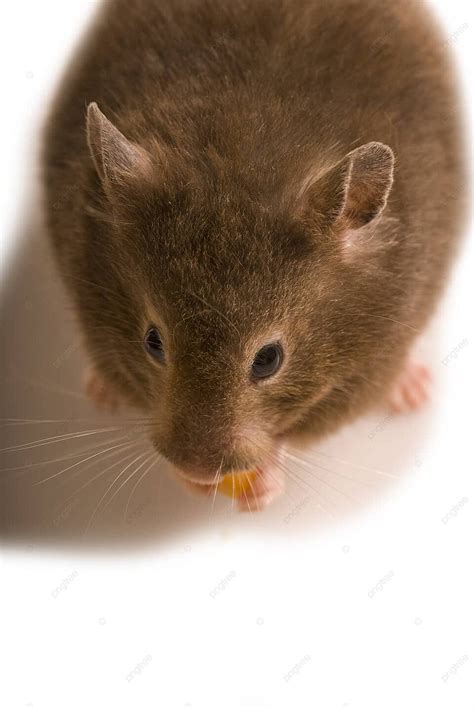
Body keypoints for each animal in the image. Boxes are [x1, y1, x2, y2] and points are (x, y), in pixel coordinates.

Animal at [42, 0, 465, 510]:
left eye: (269, 360)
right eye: (152, 341)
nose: (197, 468)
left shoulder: (371, 364)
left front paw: (259, 488)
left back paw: (413, 390)